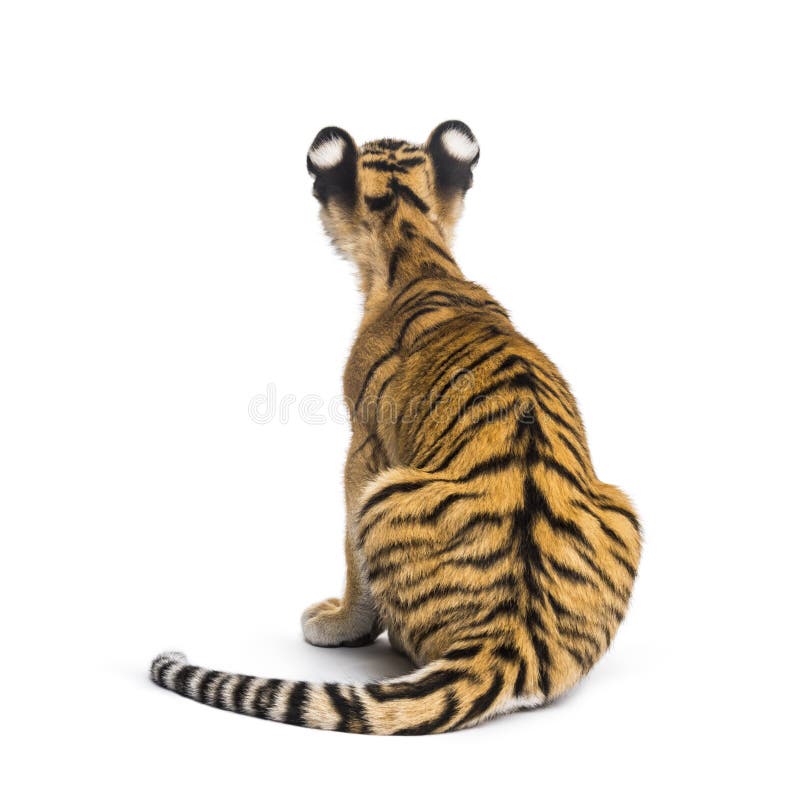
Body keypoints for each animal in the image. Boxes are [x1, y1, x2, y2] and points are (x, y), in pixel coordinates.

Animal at [151, 120, 641, 735]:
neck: (416, 246)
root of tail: (512, 644)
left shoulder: (363, 448)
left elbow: (350, 554)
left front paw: (339, 623)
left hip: (387, 493)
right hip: (623, 508)